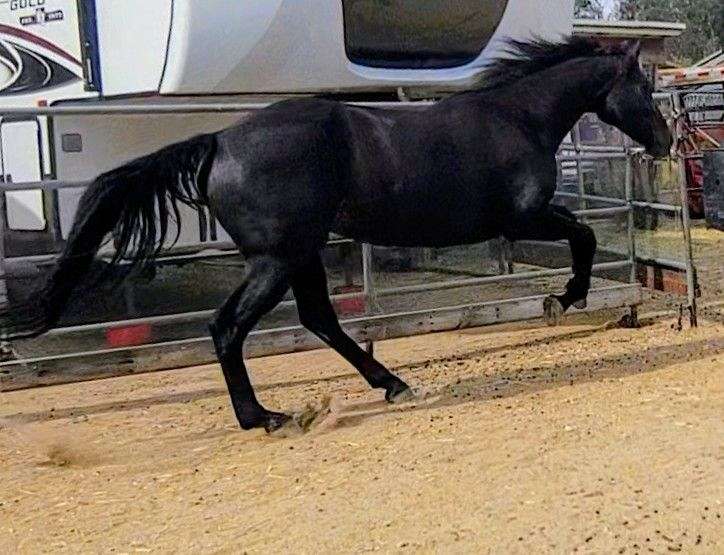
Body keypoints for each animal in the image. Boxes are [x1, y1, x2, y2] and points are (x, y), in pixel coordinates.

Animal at [1, 37, 672, 433]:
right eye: (643, 87)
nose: (666, 142)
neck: (517, 118)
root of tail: (218, 143)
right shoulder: (522, 218)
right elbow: (584, 238)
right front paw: (564, 298)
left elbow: (583, 238)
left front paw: (565, 298)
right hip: (276, 259)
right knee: (228, 326)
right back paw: (265, 417)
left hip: (302, 254)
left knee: (320, 319)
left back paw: (393, 386)